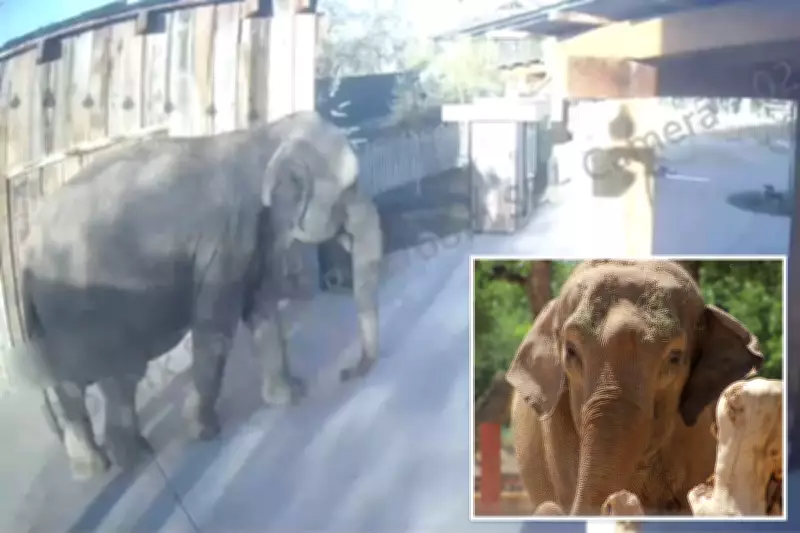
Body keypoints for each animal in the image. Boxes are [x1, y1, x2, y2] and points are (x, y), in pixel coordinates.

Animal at [6, 111, 382, 480]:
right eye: (350, 190)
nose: (346, 373)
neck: (264, 136)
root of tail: (24, 251)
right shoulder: (224, 239)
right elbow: (216, 327)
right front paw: (204, 431)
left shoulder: (252, 239)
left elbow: (262, 308)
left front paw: (289, 395)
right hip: (78, 300)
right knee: (111, 370)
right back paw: (126, 460)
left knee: (85, 379)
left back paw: (101, 463)